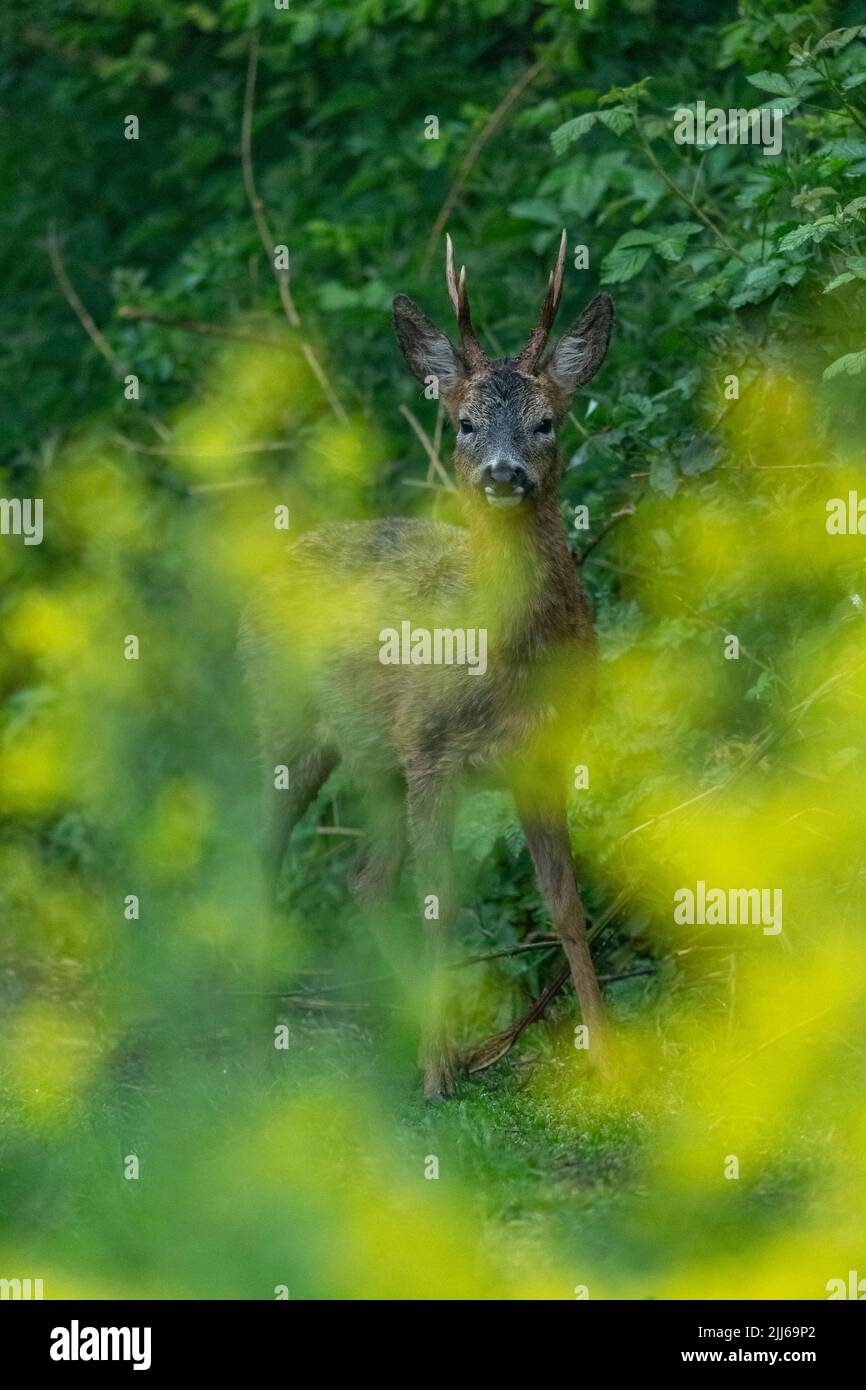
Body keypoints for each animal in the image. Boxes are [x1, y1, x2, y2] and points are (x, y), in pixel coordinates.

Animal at [240, 232, 615, 1099]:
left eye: (548, 421)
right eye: (466, 422)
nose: (505, 473)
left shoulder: (542, 755)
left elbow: (566, 903)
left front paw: (611, 1058)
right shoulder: (435, 754)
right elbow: (442, 904)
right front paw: (439, 1071)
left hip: (376, 759)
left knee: (365, 879)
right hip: (287, 721)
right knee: (267, 851)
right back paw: (256, 1028)